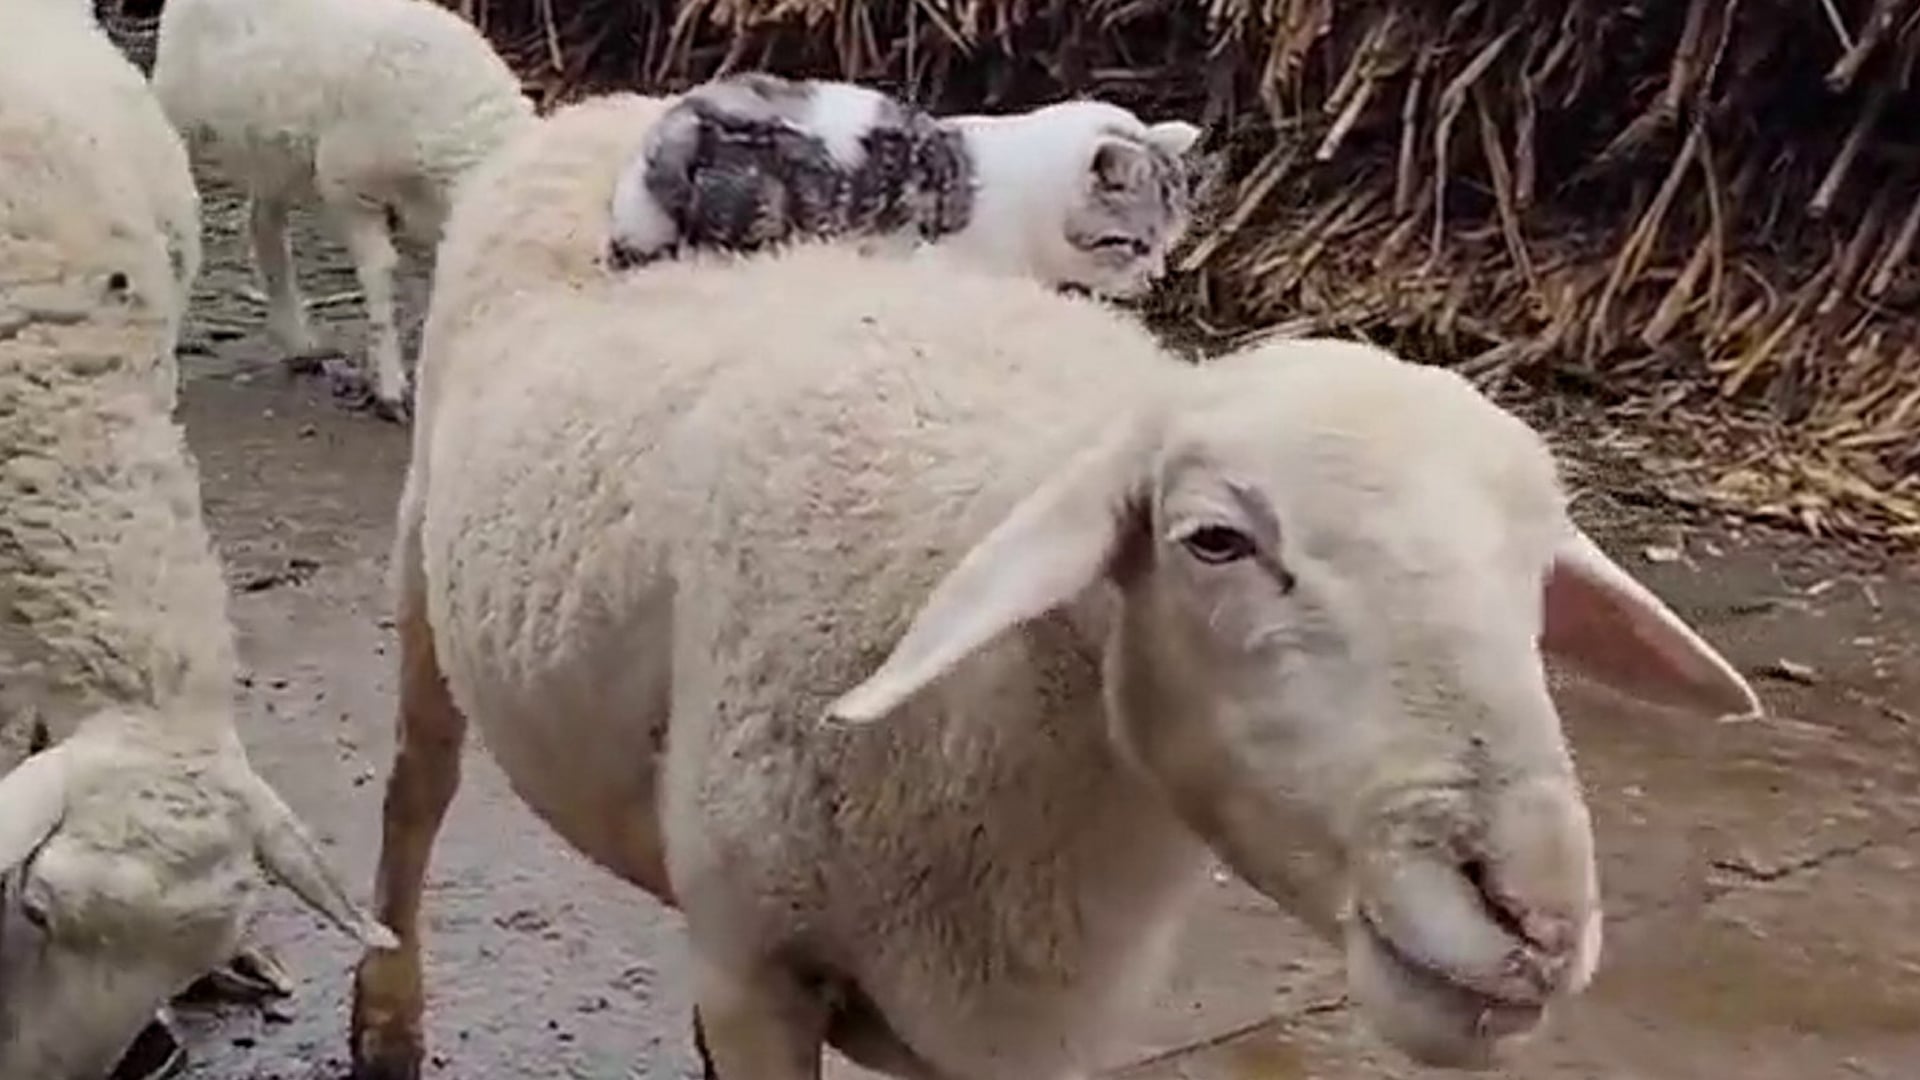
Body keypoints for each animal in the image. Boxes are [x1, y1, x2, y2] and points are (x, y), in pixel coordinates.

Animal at [149, 0, 535, 422]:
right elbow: (380, 274)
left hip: (277, 152)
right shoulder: (349, 186)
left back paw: (299, 345)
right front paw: (391, 389)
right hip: (180, 115)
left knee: (264, 224)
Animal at [345, 96, 1761, 1080]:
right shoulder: (761, 973)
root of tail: (599, 111)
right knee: (416, 795)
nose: (1533, 915)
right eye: (1212, 541)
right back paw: (386, 1019)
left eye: (1534, 575)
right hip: (421, 577)